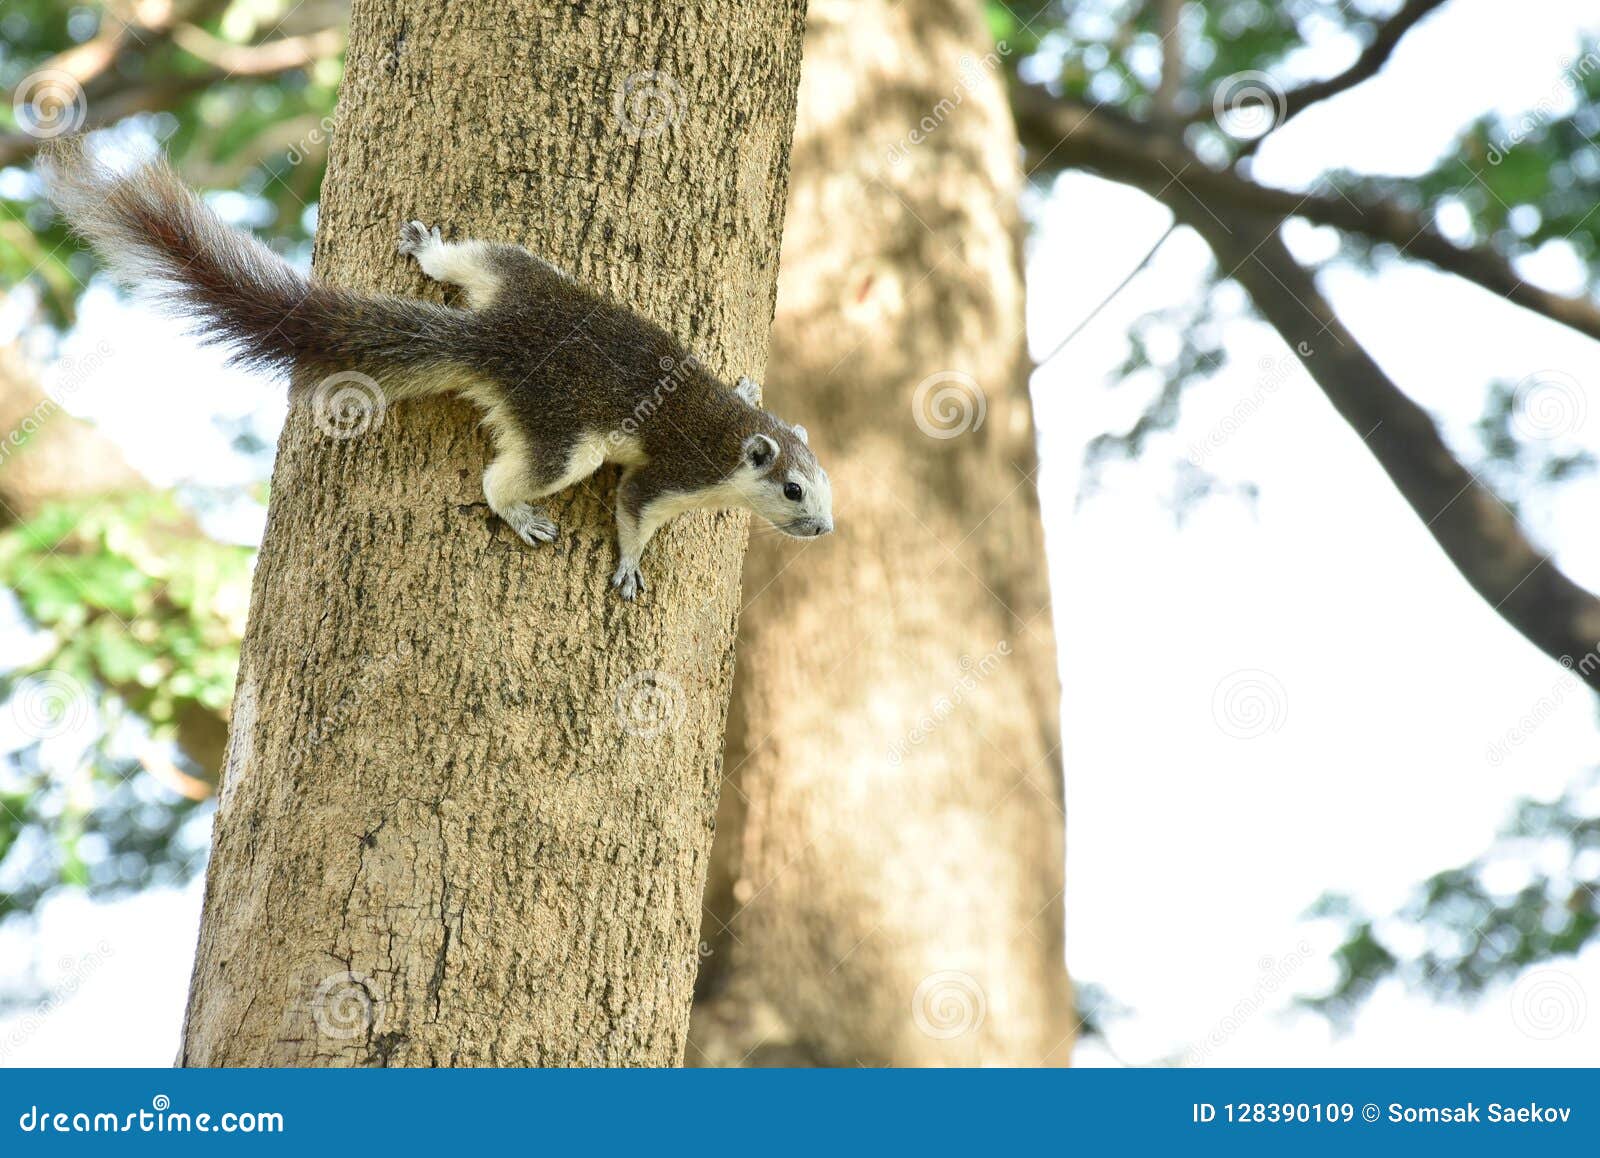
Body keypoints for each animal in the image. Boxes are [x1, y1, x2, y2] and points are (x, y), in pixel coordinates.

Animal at [41, 142, 833, 600]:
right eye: (792, 489)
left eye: (824, 485)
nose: (824, 530)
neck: (736, 438)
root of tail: (491, 339)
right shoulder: (671, 472)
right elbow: (635, 510)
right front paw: (631, 567)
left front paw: (749, 380)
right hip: (562, 432)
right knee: (508, 478)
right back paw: (519, 515)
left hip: (521, 272)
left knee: (470, 260)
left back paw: (428, 248)